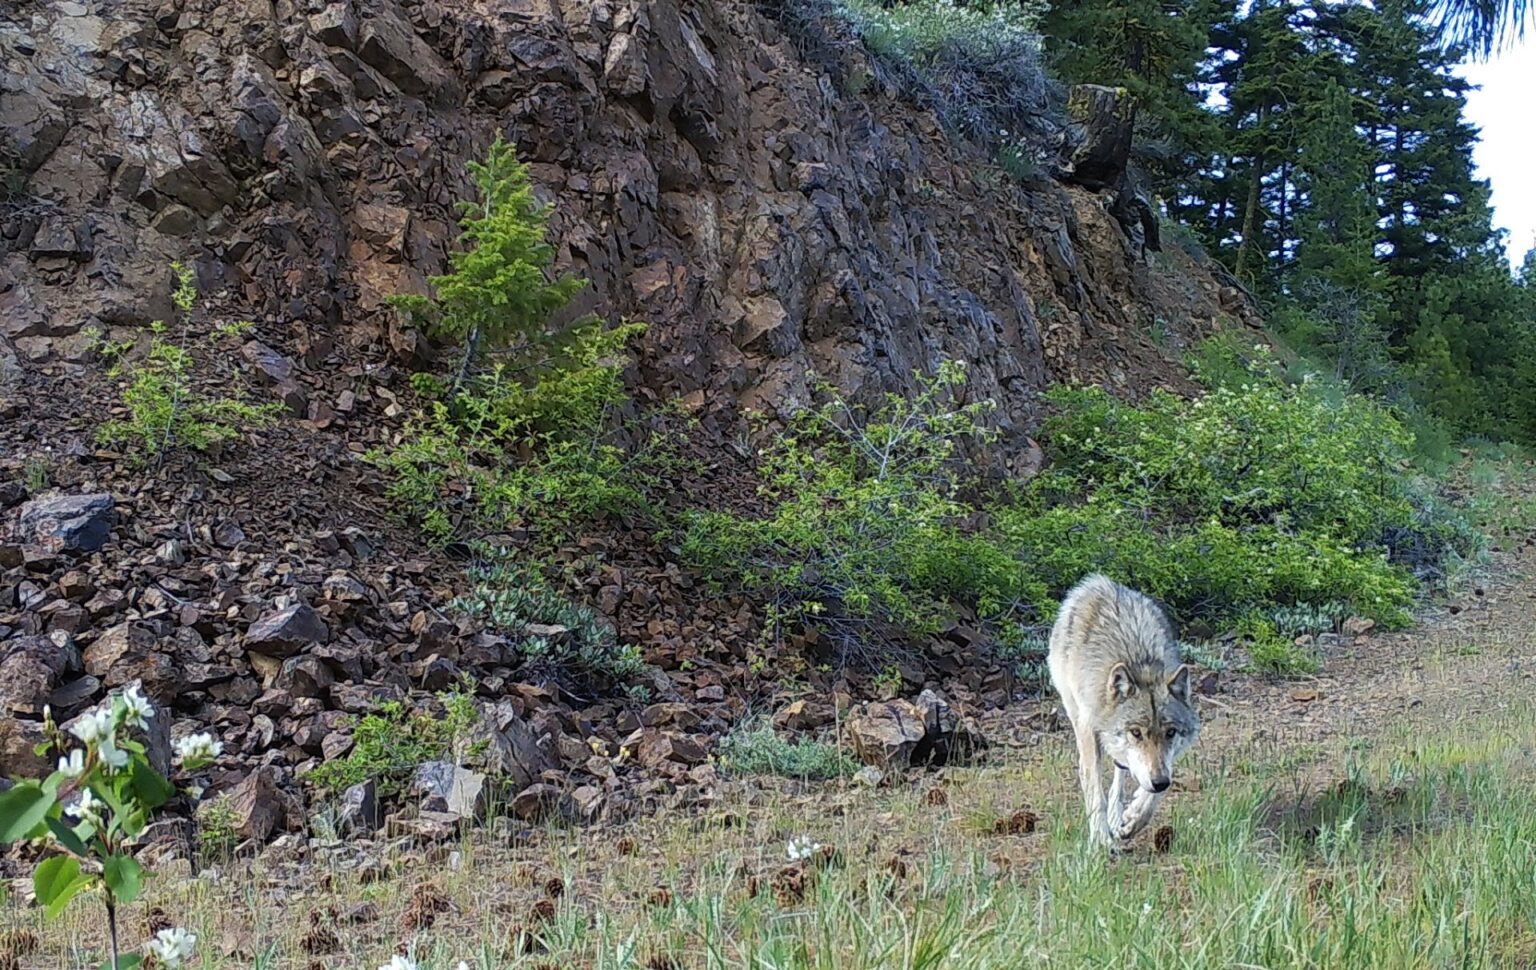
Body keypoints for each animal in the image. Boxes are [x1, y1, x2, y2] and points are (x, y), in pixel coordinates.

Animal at [1047, 573, 1199, 849]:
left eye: (1171, 733)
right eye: (1136, 733)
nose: (1159, 782)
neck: (1141, 665)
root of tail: (1097, 581)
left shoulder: (1163, 766)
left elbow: (1154, 790)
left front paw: (1133, 818)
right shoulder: (1089, 733)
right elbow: (1095, 790)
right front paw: (1100, 840)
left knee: (1121, 770)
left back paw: (1119, 816)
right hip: (1073, 710)